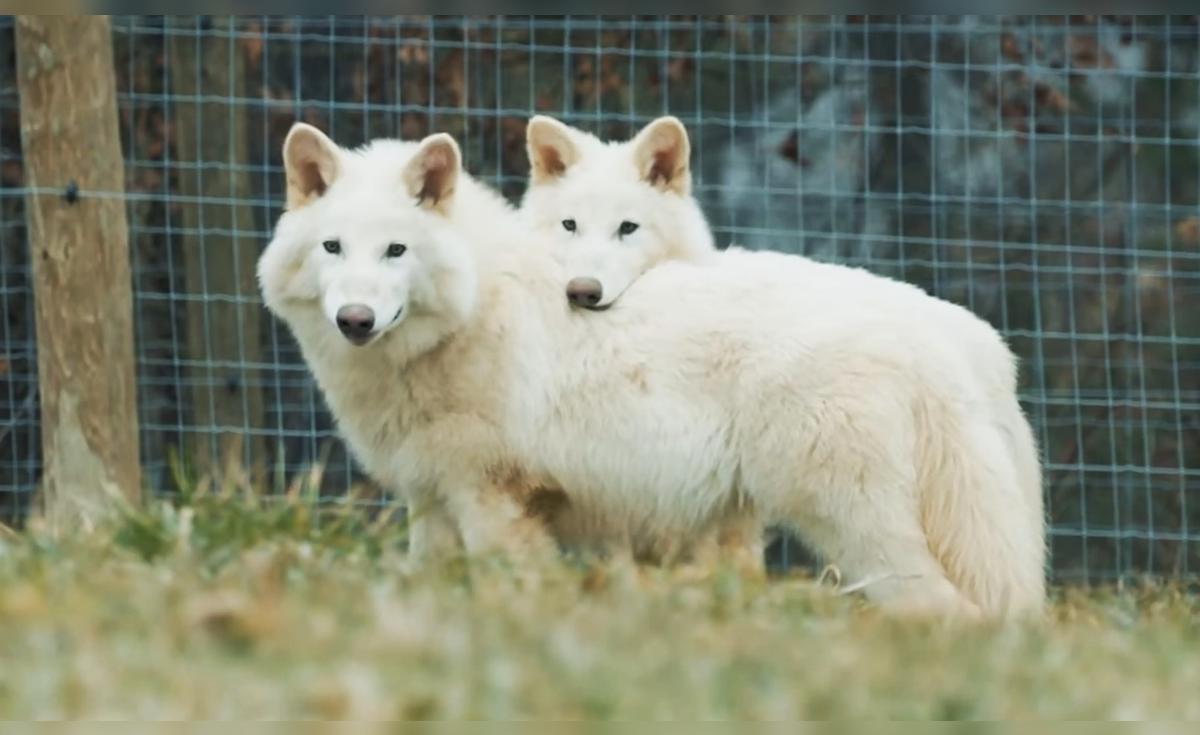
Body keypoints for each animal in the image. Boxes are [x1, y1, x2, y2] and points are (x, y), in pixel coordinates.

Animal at [259, 123, 1046, 619]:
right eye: (333, 247)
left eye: (396, 250)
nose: (355, 319)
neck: (472, 311)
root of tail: (948, 336)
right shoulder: (433, 503)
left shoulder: (493, 504)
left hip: (852, 529)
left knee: (947, 609)